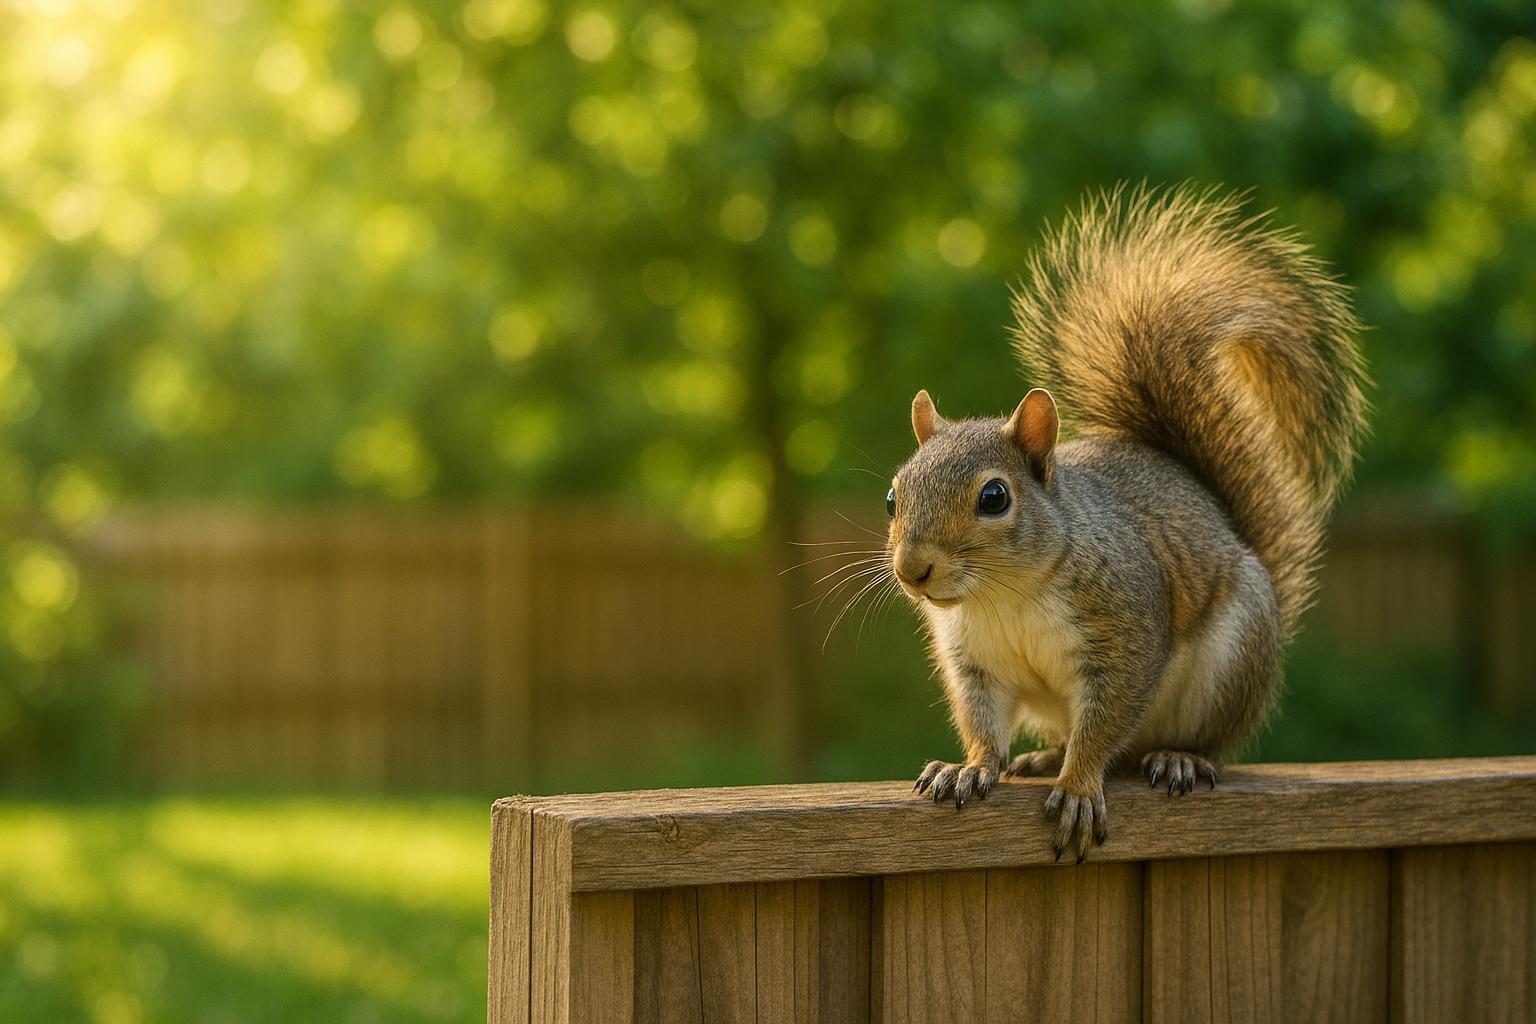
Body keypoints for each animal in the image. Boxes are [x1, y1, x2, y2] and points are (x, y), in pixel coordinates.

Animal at [888, 185, 1368, 861]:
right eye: (892, 496)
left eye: (994, 498)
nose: (913, 569)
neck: (1005, 597)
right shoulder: (972, 658)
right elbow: (982, 719)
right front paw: (972, 767)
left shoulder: (1127, 628)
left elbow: (1107, 719)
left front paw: (1079, 787)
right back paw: (1048, 756)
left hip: (1232, 662)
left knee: (1186, 742)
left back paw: (1177, 758)